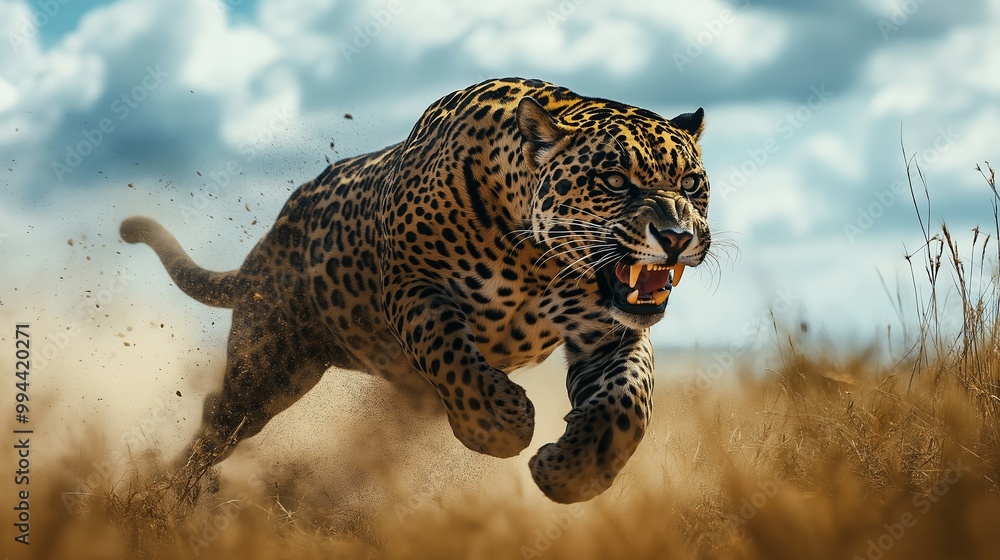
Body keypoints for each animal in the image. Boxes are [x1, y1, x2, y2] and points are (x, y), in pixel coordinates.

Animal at [119, 77, 713, 504]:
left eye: (690, 185)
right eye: (615, 182)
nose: (677, 237)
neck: (533, 260)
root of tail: (264, 247)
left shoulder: (606, 331)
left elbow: (628, 403)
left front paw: (575, 470)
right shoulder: (411, 288)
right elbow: (450, 353)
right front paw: (499, 424)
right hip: (269, 366)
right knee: (220, 419)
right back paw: (161, 495)